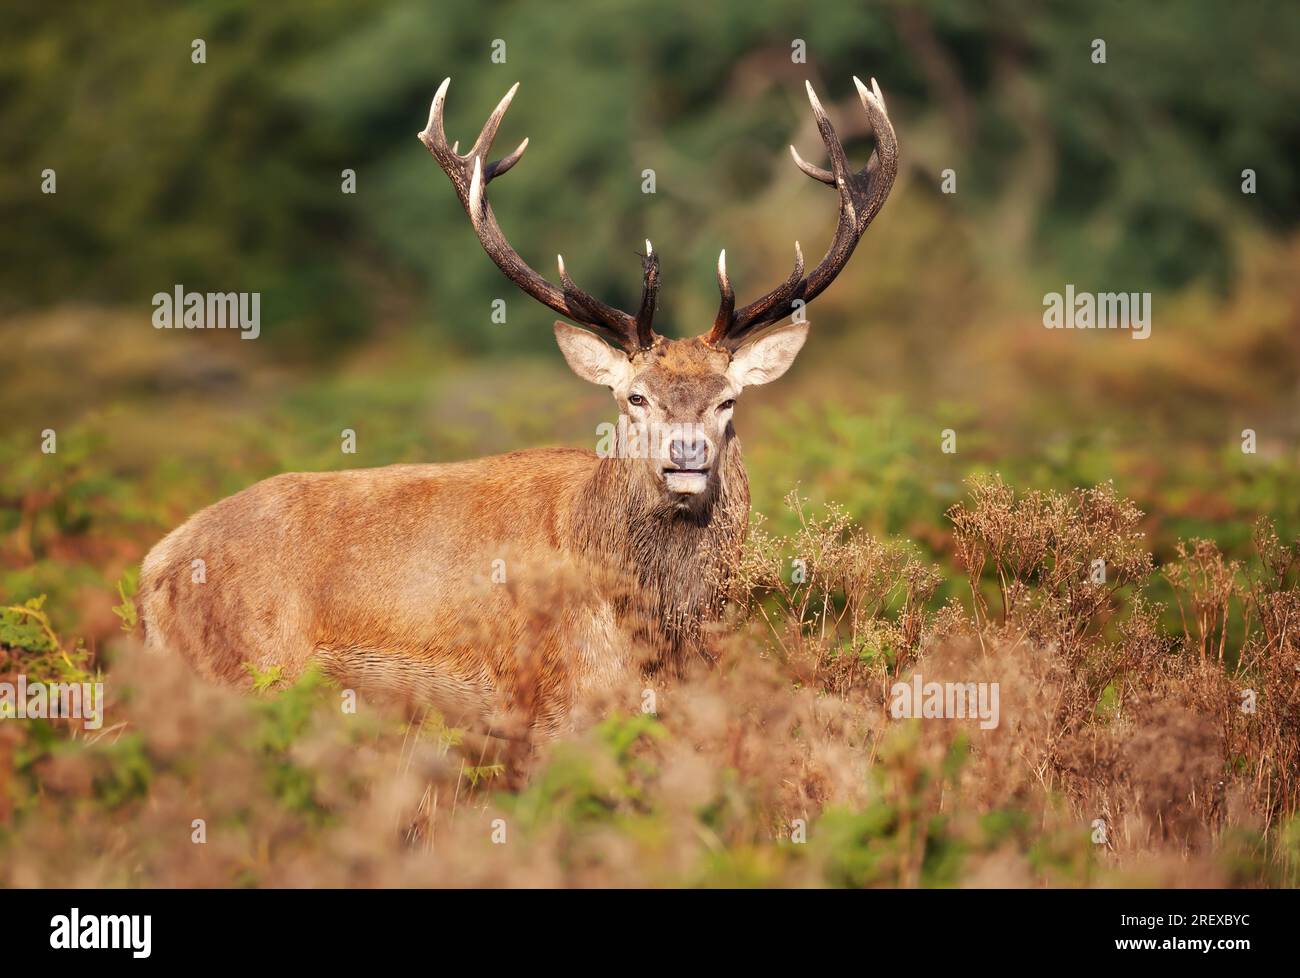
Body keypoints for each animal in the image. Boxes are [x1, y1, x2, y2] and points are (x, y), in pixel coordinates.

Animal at [138, 75, 897, 739]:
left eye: (729, 400)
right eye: (635, 397)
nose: (688, 454)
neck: (653, 627)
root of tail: (153, 570)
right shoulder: (556, 703)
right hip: (246, 671)